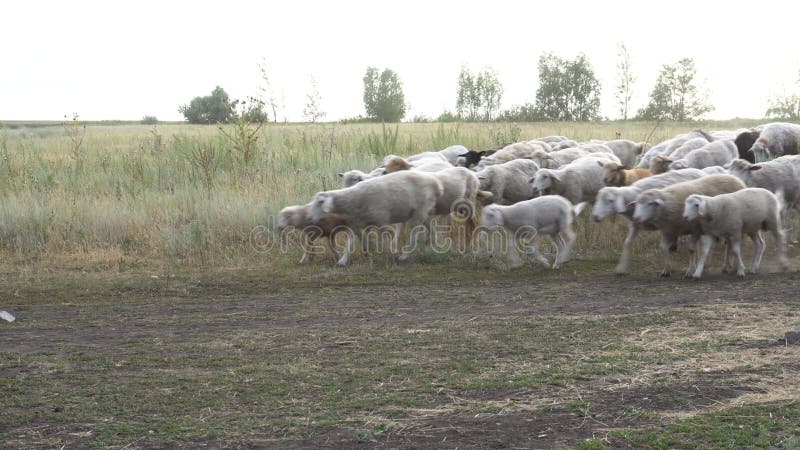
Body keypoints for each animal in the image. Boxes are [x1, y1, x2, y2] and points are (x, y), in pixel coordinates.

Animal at [308, 171, 443, 265]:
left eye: (320, 202)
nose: (309, 218)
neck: (354, 198)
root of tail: (436, 183)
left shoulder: (382, 220)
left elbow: (386, 238)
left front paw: (394, 253)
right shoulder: (356, 224)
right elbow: (352, 241)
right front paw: (344, 260)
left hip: (420, 211)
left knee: (414, 232)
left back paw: (405, 255)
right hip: (423, 212)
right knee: (430, 228)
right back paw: (431, 248)